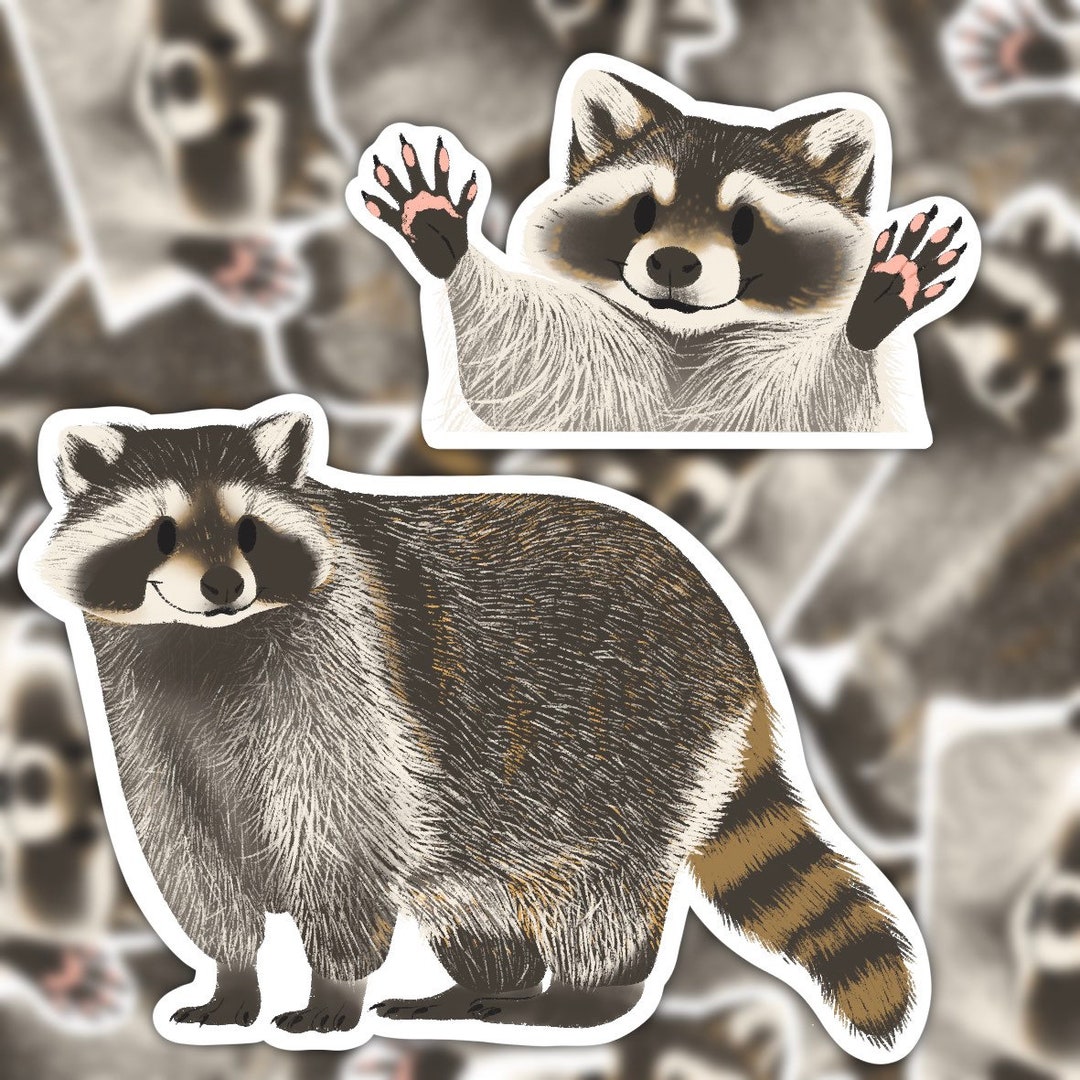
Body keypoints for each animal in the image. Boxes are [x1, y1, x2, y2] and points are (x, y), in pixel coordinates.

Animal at [27, 403, 924, 1058]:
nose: (222, 584)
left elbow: (338, 850)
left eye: (249, 530)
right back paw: (485, 981)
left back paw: (590, 989)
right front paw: (232, 977)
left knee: (601, 887)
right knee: (474, 893)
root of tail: (735, 640)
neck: (207, 644)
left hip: (634, 738)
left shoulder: (345, 683)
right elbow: (191, 857)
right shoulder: (146, 717)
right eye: (164, 532)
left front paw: (332, 986)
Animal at [354, 63, 974, 435]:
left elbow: (823, 402)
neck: (684, 338)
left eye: (745, 223)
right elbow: (513, 365)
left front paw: (877, 304)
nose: (673, 260)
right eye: (643, 210)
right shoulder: (584, 367)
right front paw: (443, 238)